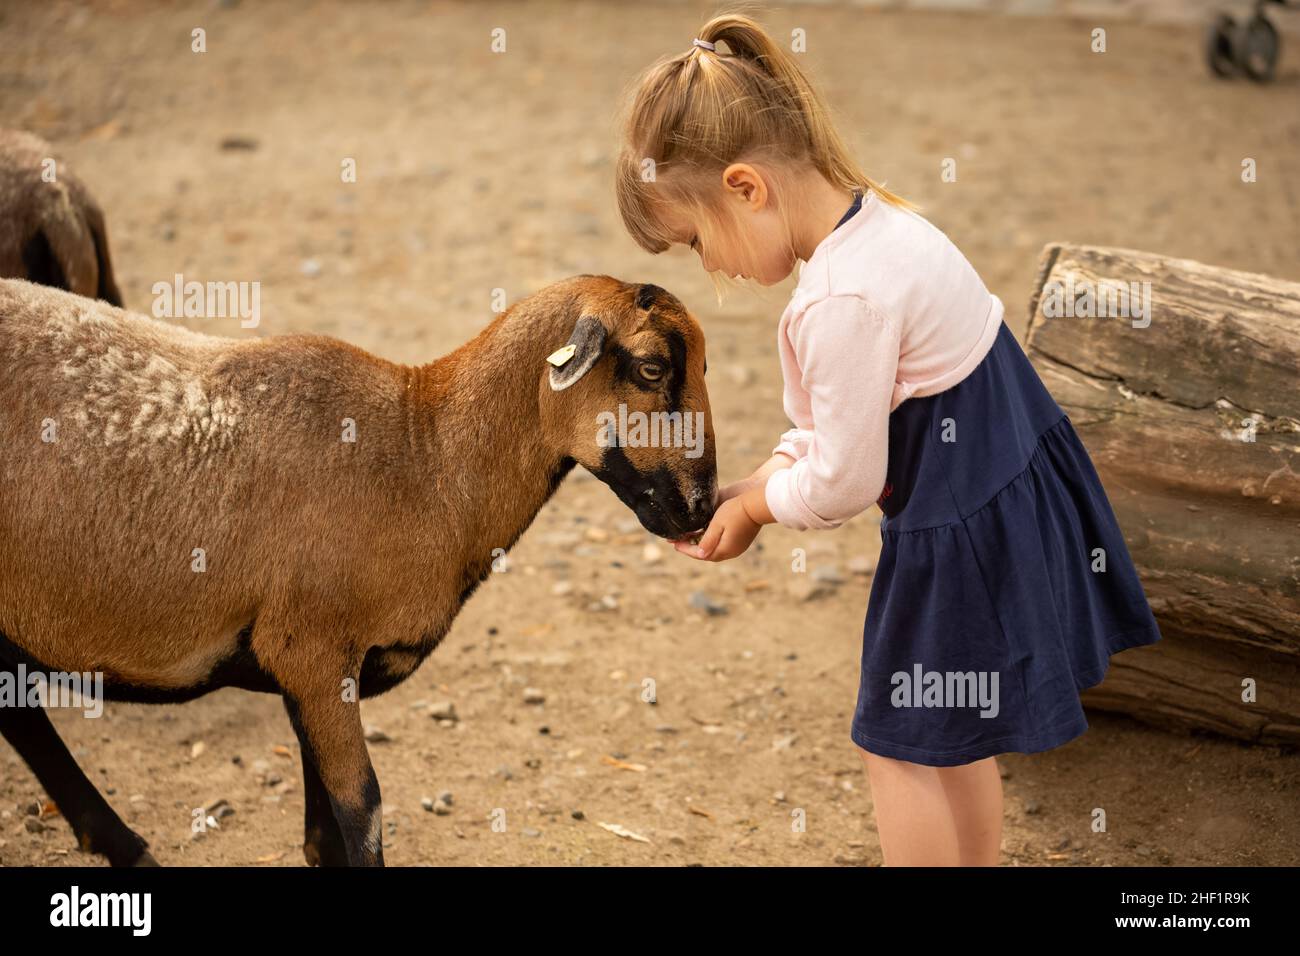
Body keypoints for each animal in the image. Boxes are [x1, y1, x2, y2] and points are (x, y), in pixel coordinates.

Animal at [0, 275, 716, 866]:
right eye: (652, 366)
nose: (702, 508)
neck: (423, 453)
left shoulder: (305, 673)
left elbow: (323, 832)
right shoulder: (310, 650)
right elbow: (361, 812)